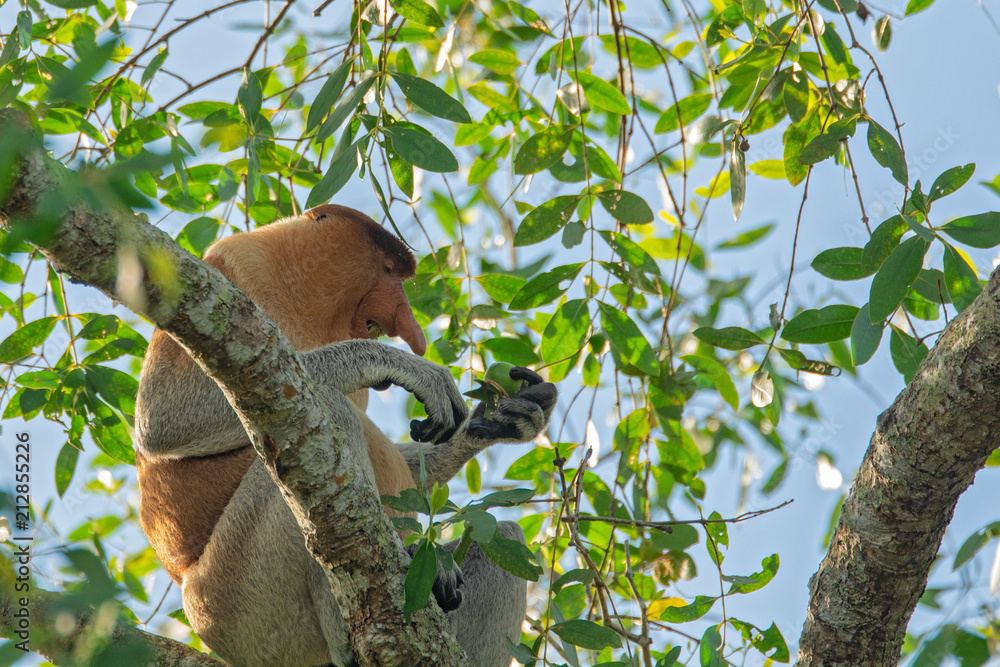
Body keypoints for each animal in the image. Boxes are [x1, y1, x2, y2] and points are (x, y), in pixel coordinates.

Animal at [133, 204, 558, 667]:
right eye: (388, 269)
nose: (409, 328)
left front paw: (506, 417)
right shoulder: (228, 269)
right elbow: (165, 420)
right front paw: (403, 365)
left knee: (502, 535)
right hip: (236, 606)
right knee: (329, 413)